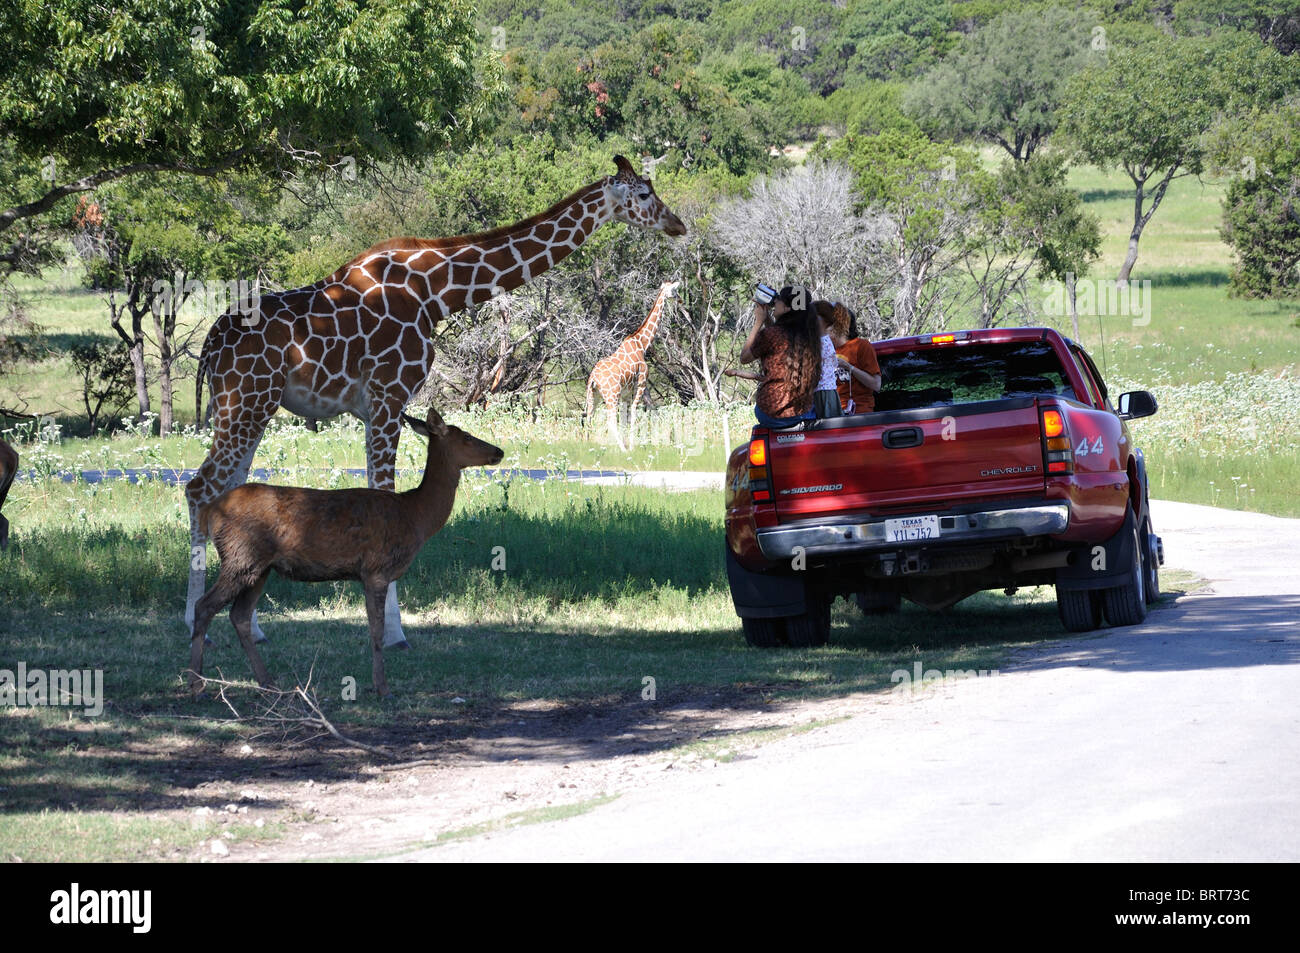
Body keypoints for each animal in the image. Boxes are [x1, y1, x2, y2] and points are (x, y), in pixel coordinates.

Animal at [585, 280, 680, 451]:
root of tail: (593, 378)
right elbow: (634, 413)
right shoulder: (641, 384)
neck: (642, 344)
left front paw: (629, 443)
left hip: (594, 395)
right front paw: (632, 447)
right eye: (675, 290)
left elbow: (625, 418)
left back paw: (586, 444)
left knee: (589, 416)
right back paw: (622, 449)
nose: (680, 299)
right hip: (611, 395)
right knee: (610, 420)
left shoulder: (626, 393)